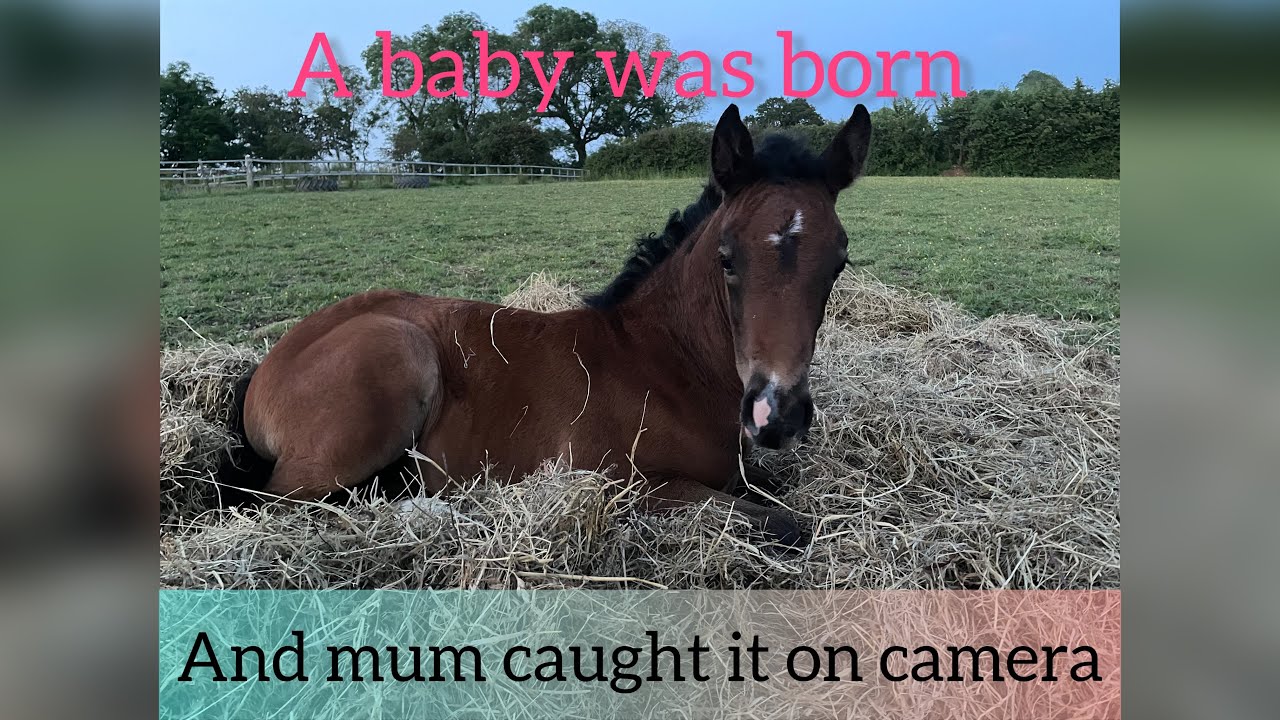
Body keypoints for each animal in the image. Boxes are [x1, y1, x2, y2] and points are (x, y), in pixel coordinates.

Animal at [226, 103, 872, 546]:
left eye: (839, 260)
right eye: (727, 258)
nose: (776, 414)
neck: (665, 363)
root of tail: (268, 366)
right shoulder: (627, 485)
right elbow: (790, 524)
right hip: (391, 359)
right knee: (280, 504)